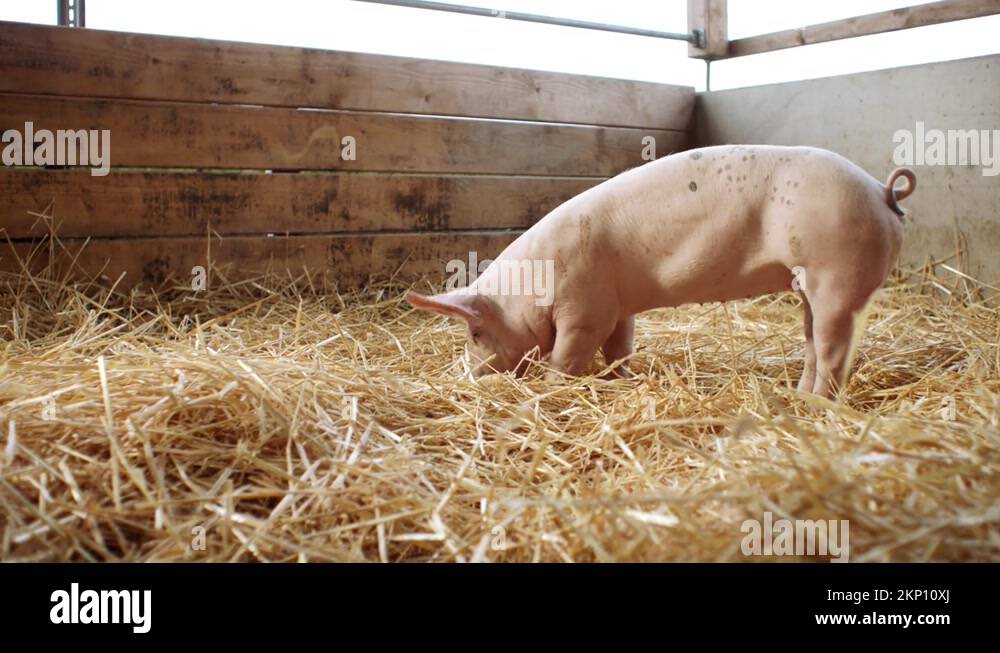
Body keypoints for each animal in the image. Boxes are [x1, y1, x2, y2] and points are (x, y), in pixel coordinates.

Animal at [406, 145, 916, 398]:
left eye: (475, 333)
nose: (472, 376)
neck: (533, 284)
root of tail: (882, 190)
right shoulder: (617, 306)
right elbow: (620, 348)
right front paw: (620, 382)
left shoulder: (584, 308)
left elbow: (568, 356)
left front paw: (553, 389)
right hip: (810, 283)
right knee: (812, 343)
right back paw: (797, 396)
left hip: (837, 272)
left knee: (832, 348)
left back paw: (815, 403)